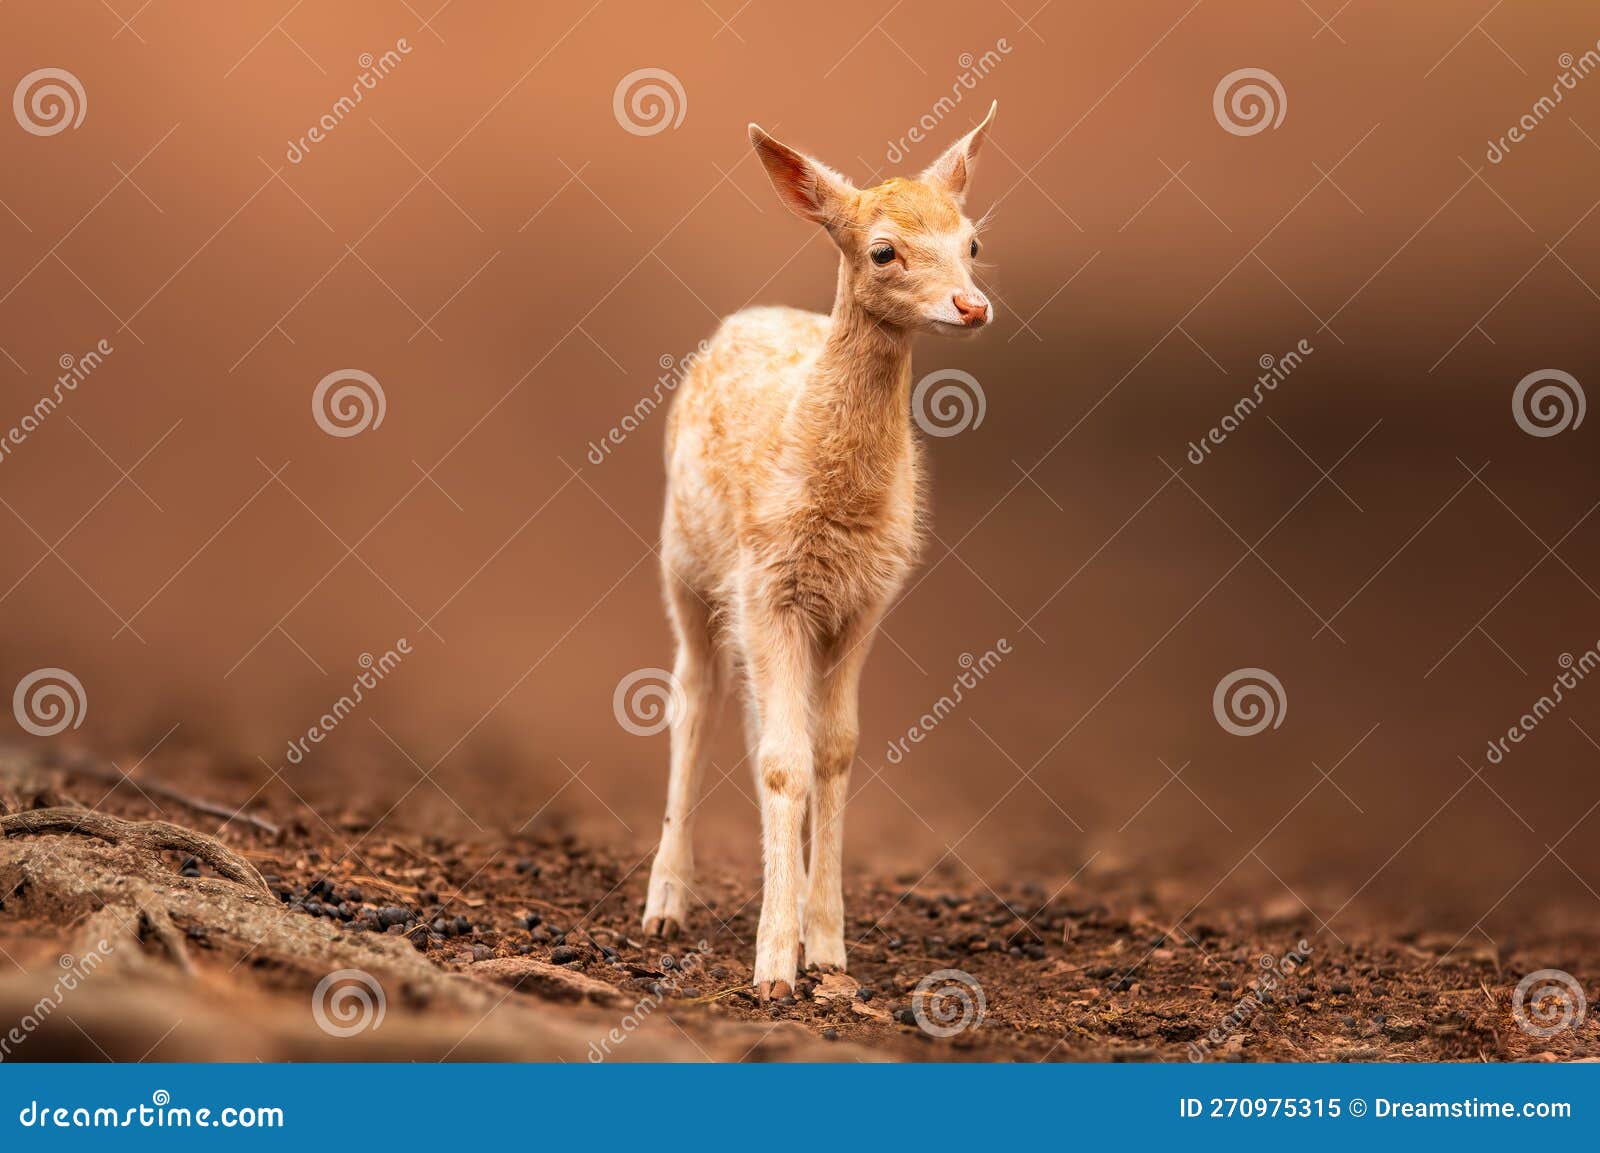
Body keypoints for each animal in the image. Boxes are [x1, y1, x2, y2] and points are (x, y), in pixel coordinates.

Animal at [642, 104, 997, 1000]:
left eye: (973, 241)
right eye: (884, 250)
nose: (972, 306)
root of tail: (744, 317)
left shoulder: (865, 596)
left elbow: (831, 750)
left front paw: (828, 946)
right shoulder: (771, 582)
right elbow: (783, 764)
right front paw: (773, 968)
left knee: (759, 720)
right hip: (686, 565)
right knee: (694, 696)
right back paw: (664, 903)